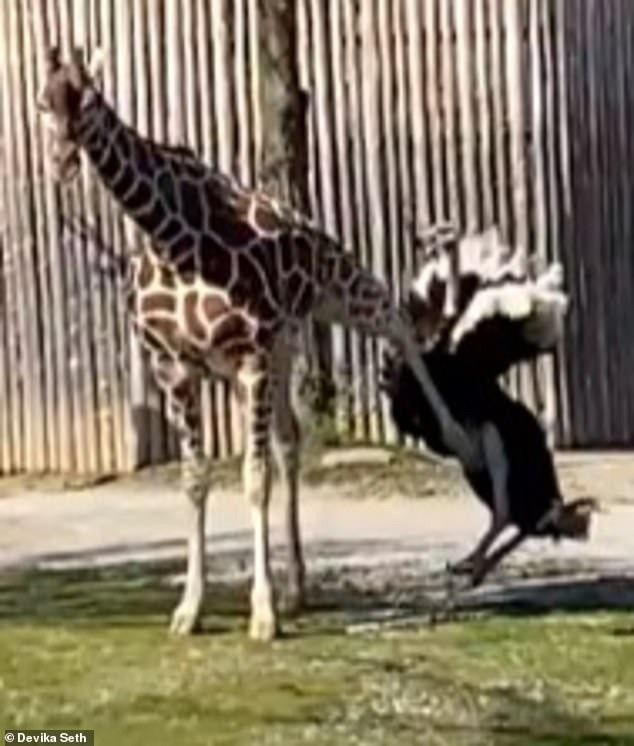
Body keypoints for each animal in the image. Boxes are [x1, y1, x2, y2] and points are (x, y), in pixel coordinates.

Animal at [37, 47, 474, 640]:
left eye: (89, 98)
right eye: (43, 102)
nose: (62, 161)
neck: (172, 239)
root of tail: (301, 218)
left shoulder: (251, 358)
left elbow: (252, 478)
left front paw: (262, 614)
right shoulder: (176, 366)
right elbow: (196, 480)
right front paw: (191, 609)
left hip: (338, 293)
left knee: (398, 321)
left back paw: (456, 432)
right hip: (284, 349)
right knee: (291, 444)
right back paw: (297, 589)